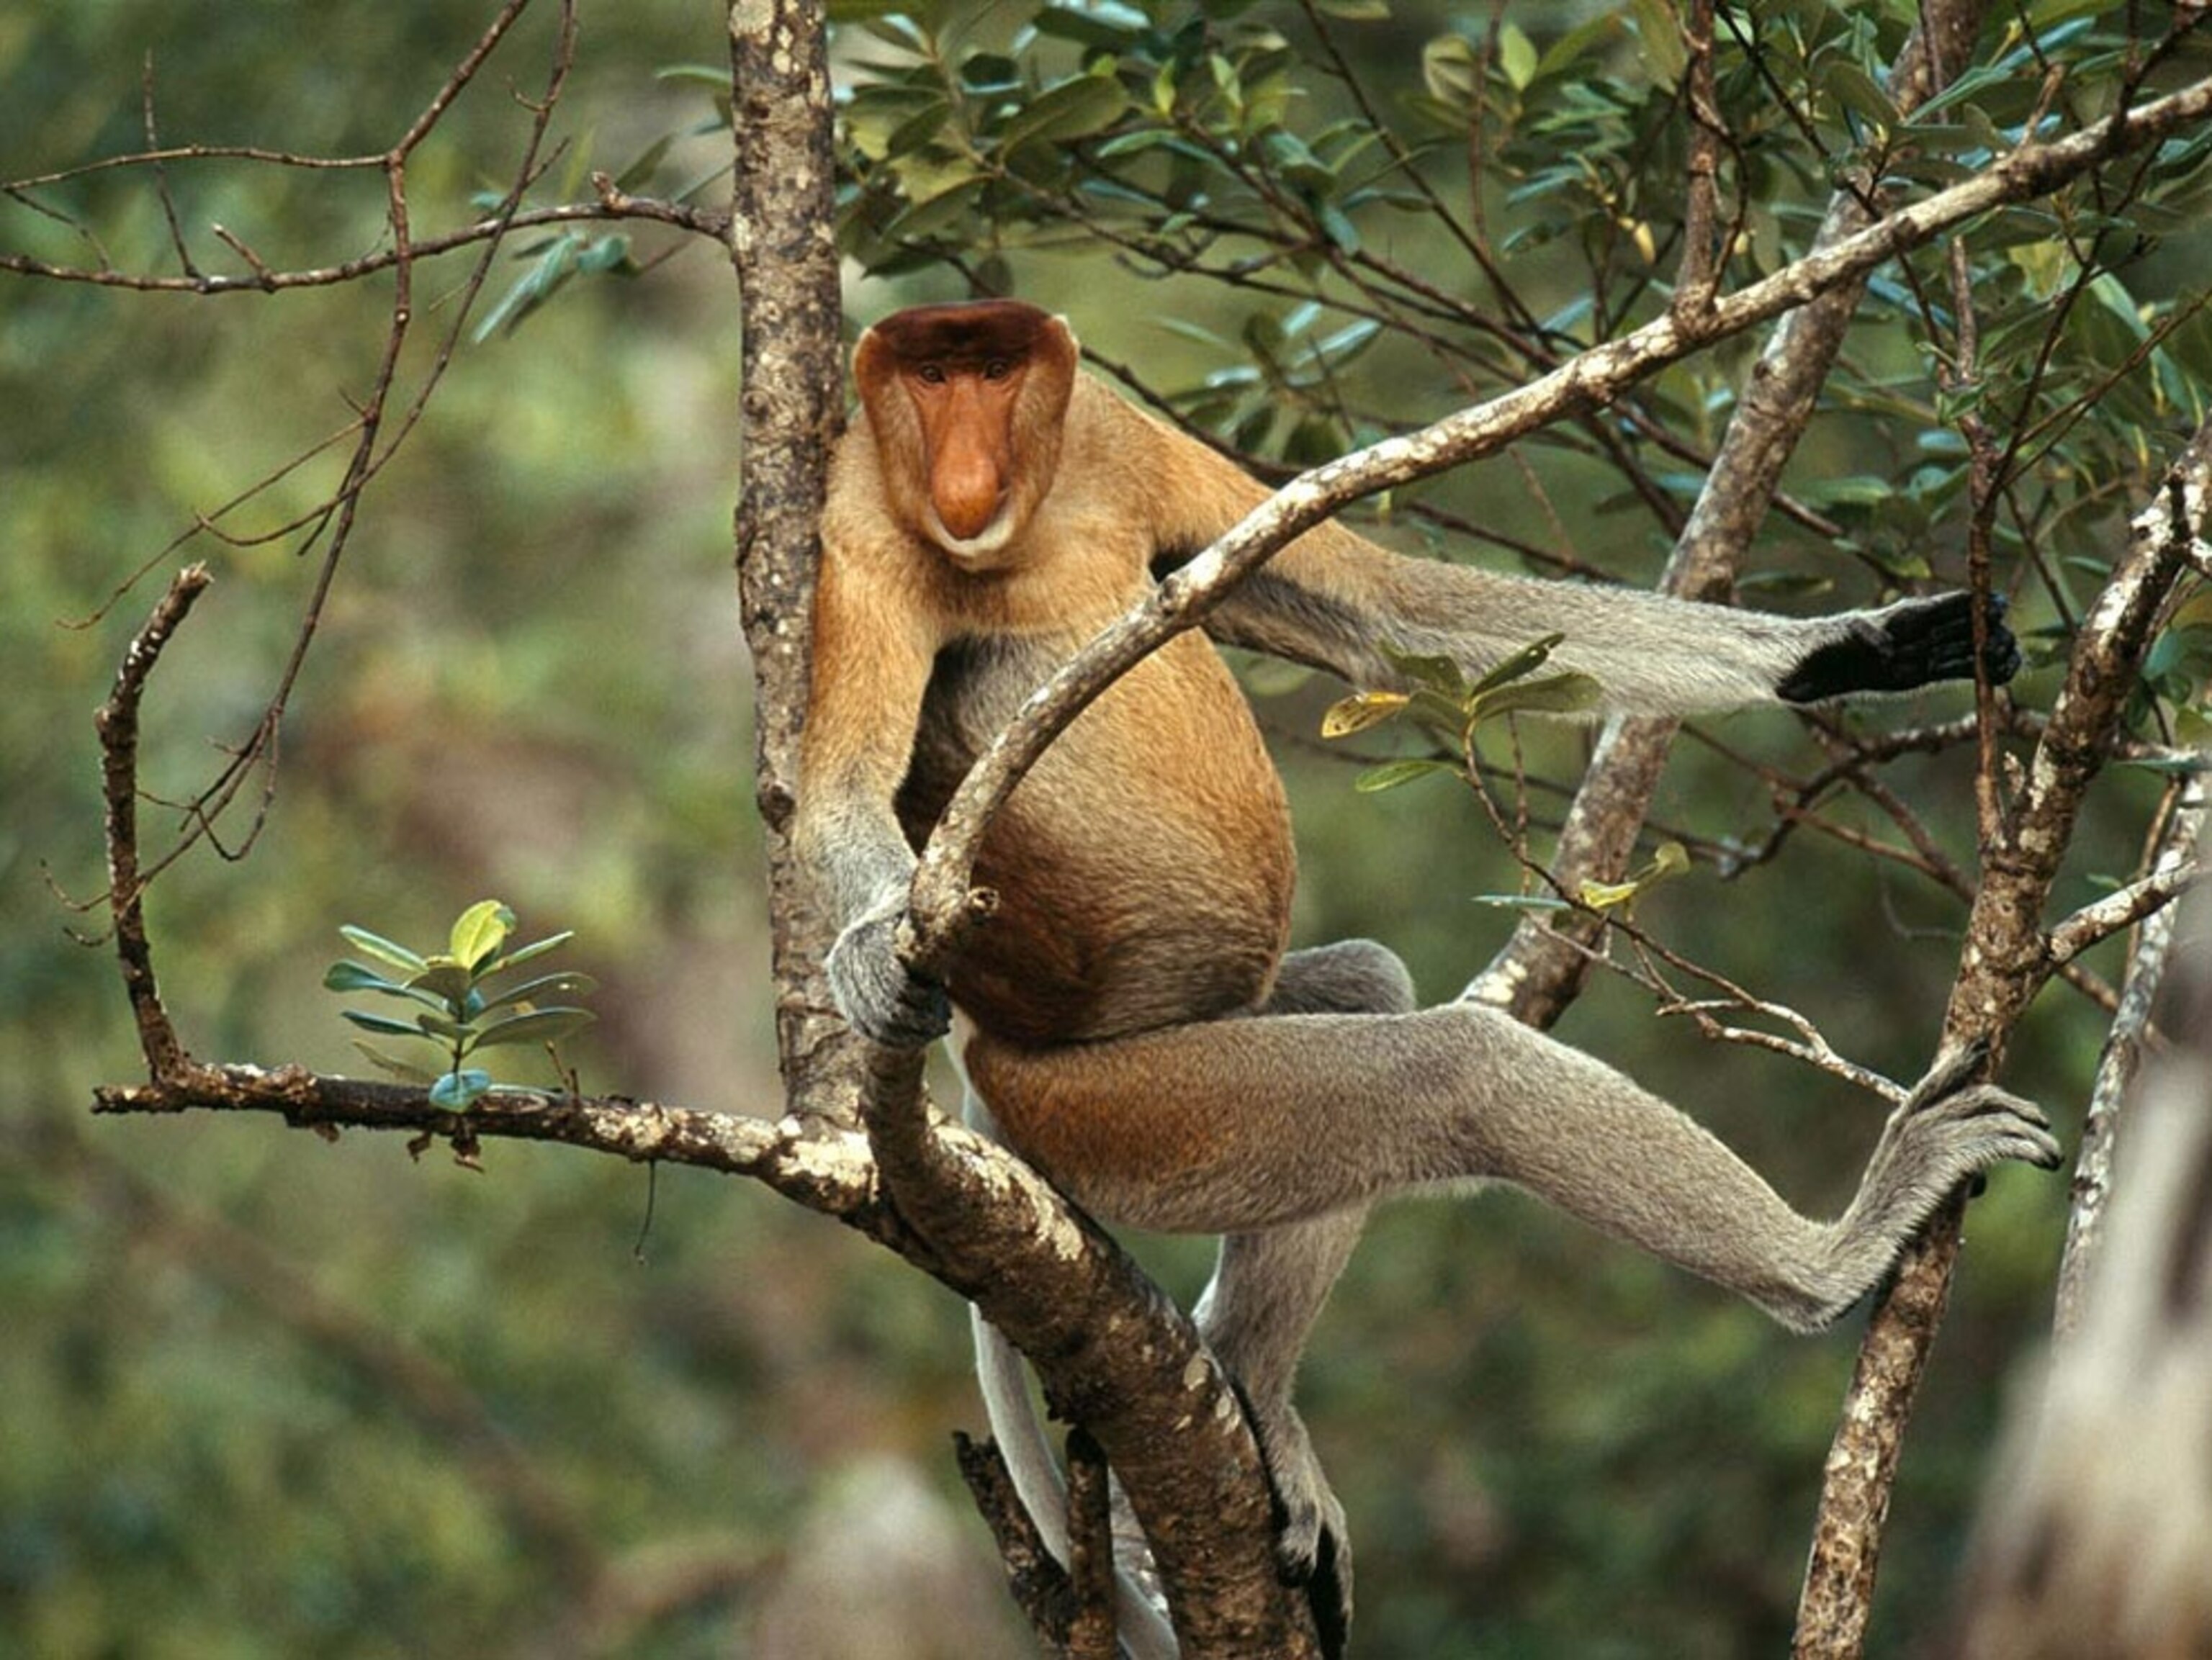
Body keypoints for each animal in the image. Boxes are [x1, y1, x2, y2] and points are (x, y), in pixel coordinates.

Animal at [794, 297, 2057, 1657]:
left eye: (989, 371)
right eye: (926, 379)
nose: (962, 465)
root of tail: (996, 1057)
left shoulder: (1111, 437)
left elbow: (1391, 609)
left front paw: (1863, 646)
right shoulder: (858, 529)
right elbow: (838, 791)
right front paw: (872, 964)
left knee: (1373, 983)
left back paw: (1254, 1401)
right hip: (1118, 1107)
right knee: (1449, 1070)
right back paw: (1832, 1262)